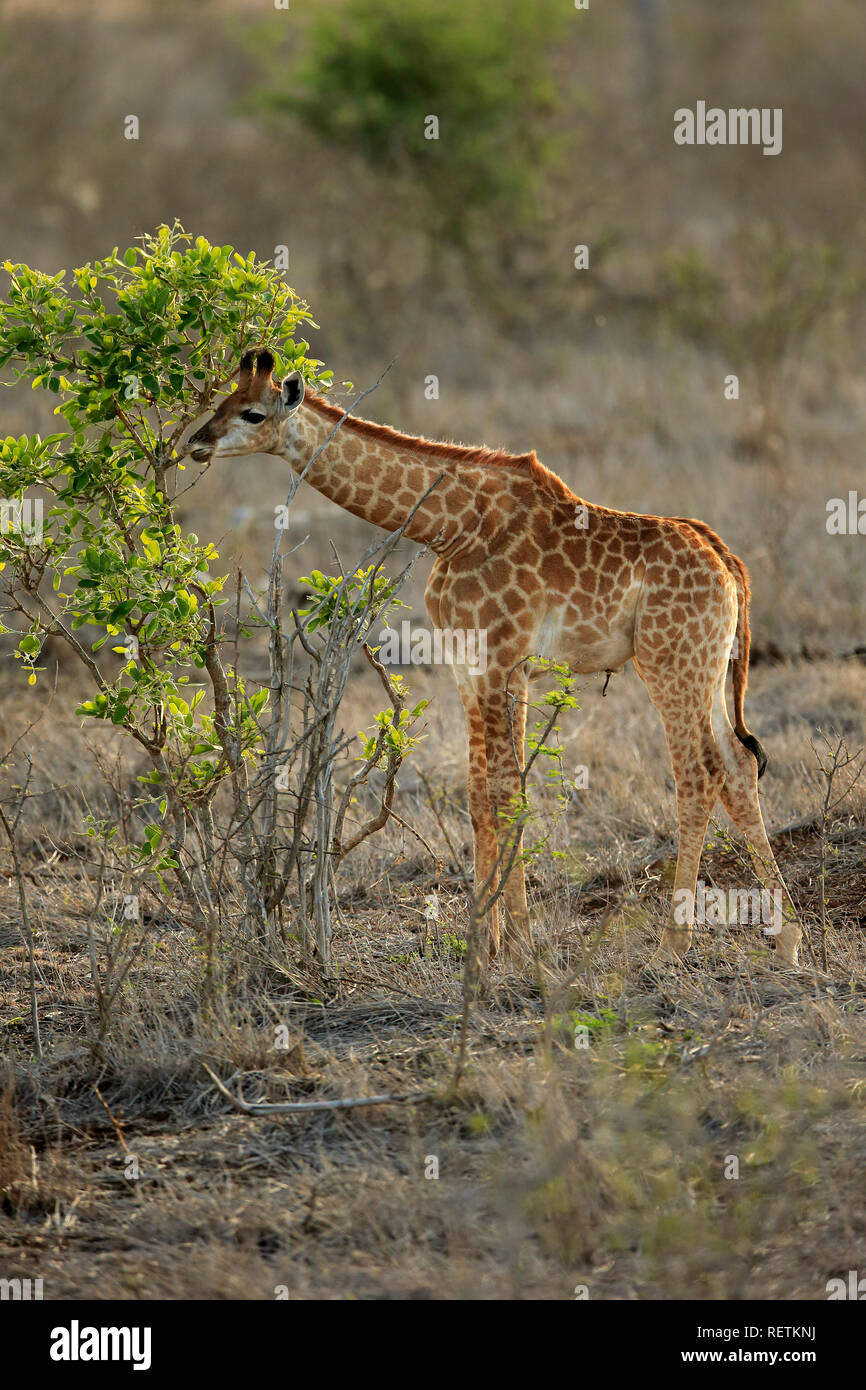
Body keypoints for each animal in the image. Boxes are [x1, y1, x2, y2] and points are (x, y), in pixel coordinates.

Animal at [187, 350, 802, 968]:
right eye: (219, 399)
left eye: (252, 412)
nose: (196, 442)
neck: (450, 525)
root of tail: (729, 563)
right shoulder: (474, 666)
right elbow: (480, 795)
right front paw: (486, 942)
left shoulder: (498, 658)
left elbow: (507, 791)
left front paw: (516, 945)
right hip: (708, 667)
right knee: (739, 767)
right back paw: (787, 939)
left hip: (670, 662)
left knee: (699, 774)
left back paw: (675, 944)